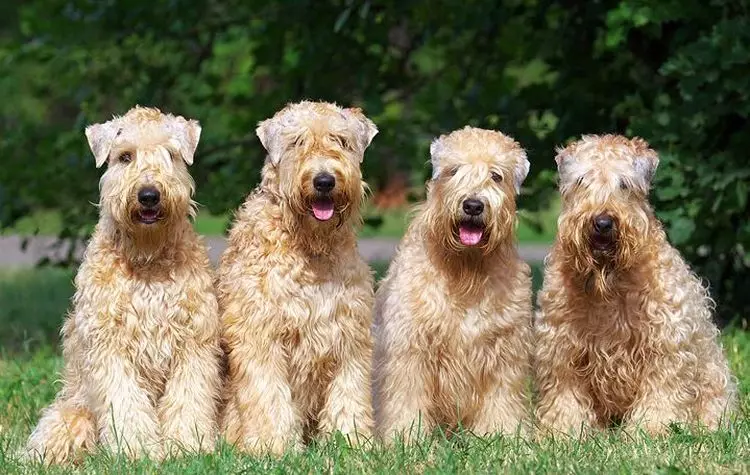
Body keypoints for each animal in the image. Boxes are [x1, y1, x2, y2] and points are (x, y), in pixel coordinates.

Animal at [219, 101, 382, 458]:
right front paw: (274, 446)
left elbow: (348, 395)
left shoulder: (349, 334)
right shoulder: (261, 333)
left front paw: (350, 443)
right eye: (297, 142)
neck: (311, 250)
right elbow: (268, 394)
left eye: (341, 141)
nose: (324, 180)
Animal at [374, 125, 532, 442]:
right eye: (453, 170)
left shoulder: (504, 352)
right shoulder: (410, 350)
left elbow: (502, 401)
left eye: (496, 175)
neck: (464, 269)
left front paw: (503, 437)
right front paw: (406, 439)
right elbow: (406, 399)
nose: (473, 205)